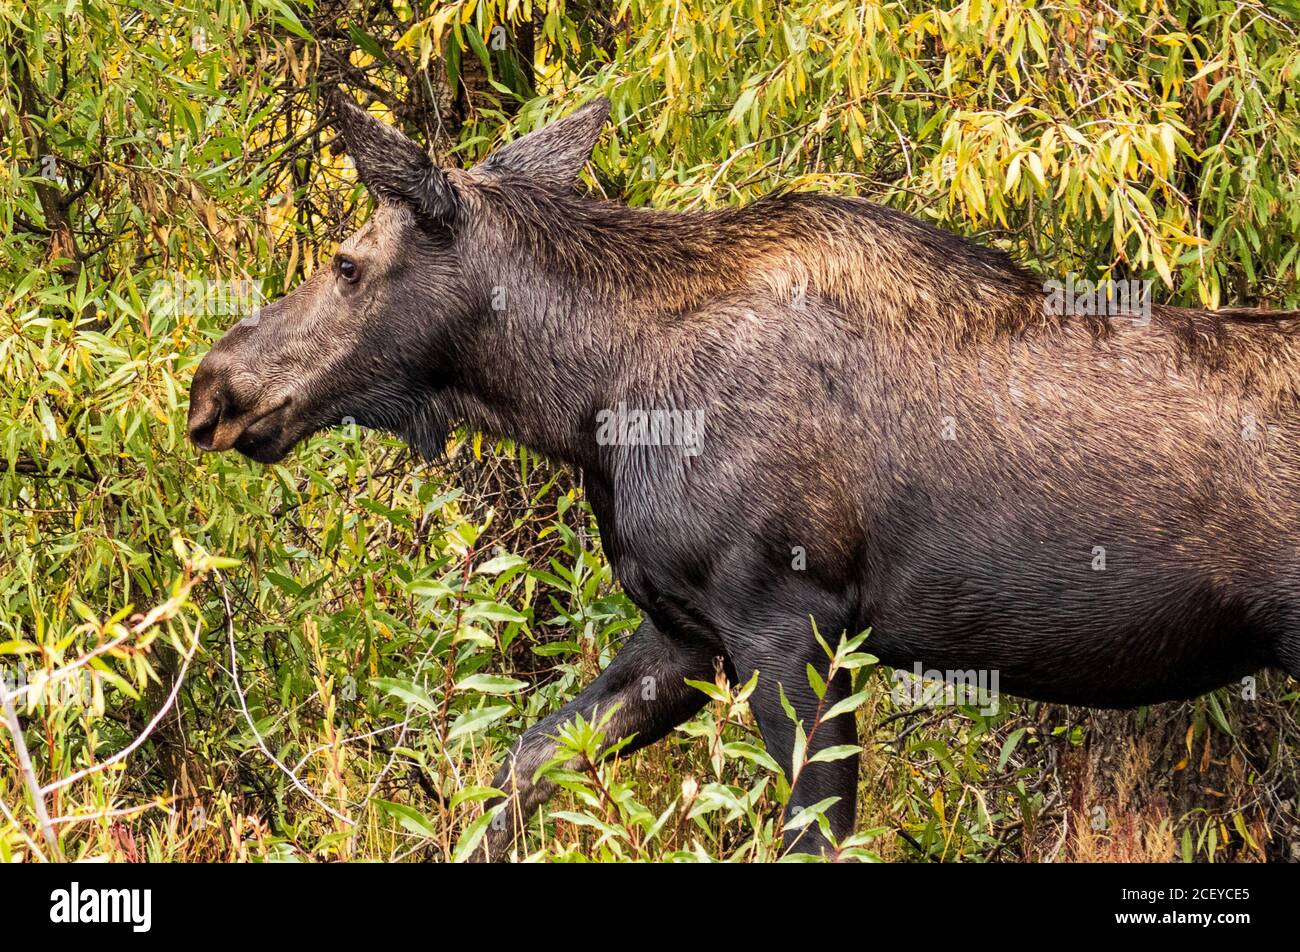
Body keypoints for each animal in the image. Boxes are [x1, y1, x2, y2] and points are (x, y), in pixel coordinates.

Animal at [189, 92, 1300, 858]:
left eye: (345, 262)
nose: (213, 385)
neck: (590, 401)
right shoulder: (687, 631)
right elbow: (523, 764)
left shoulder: (787, 621)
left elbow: (812, 836)